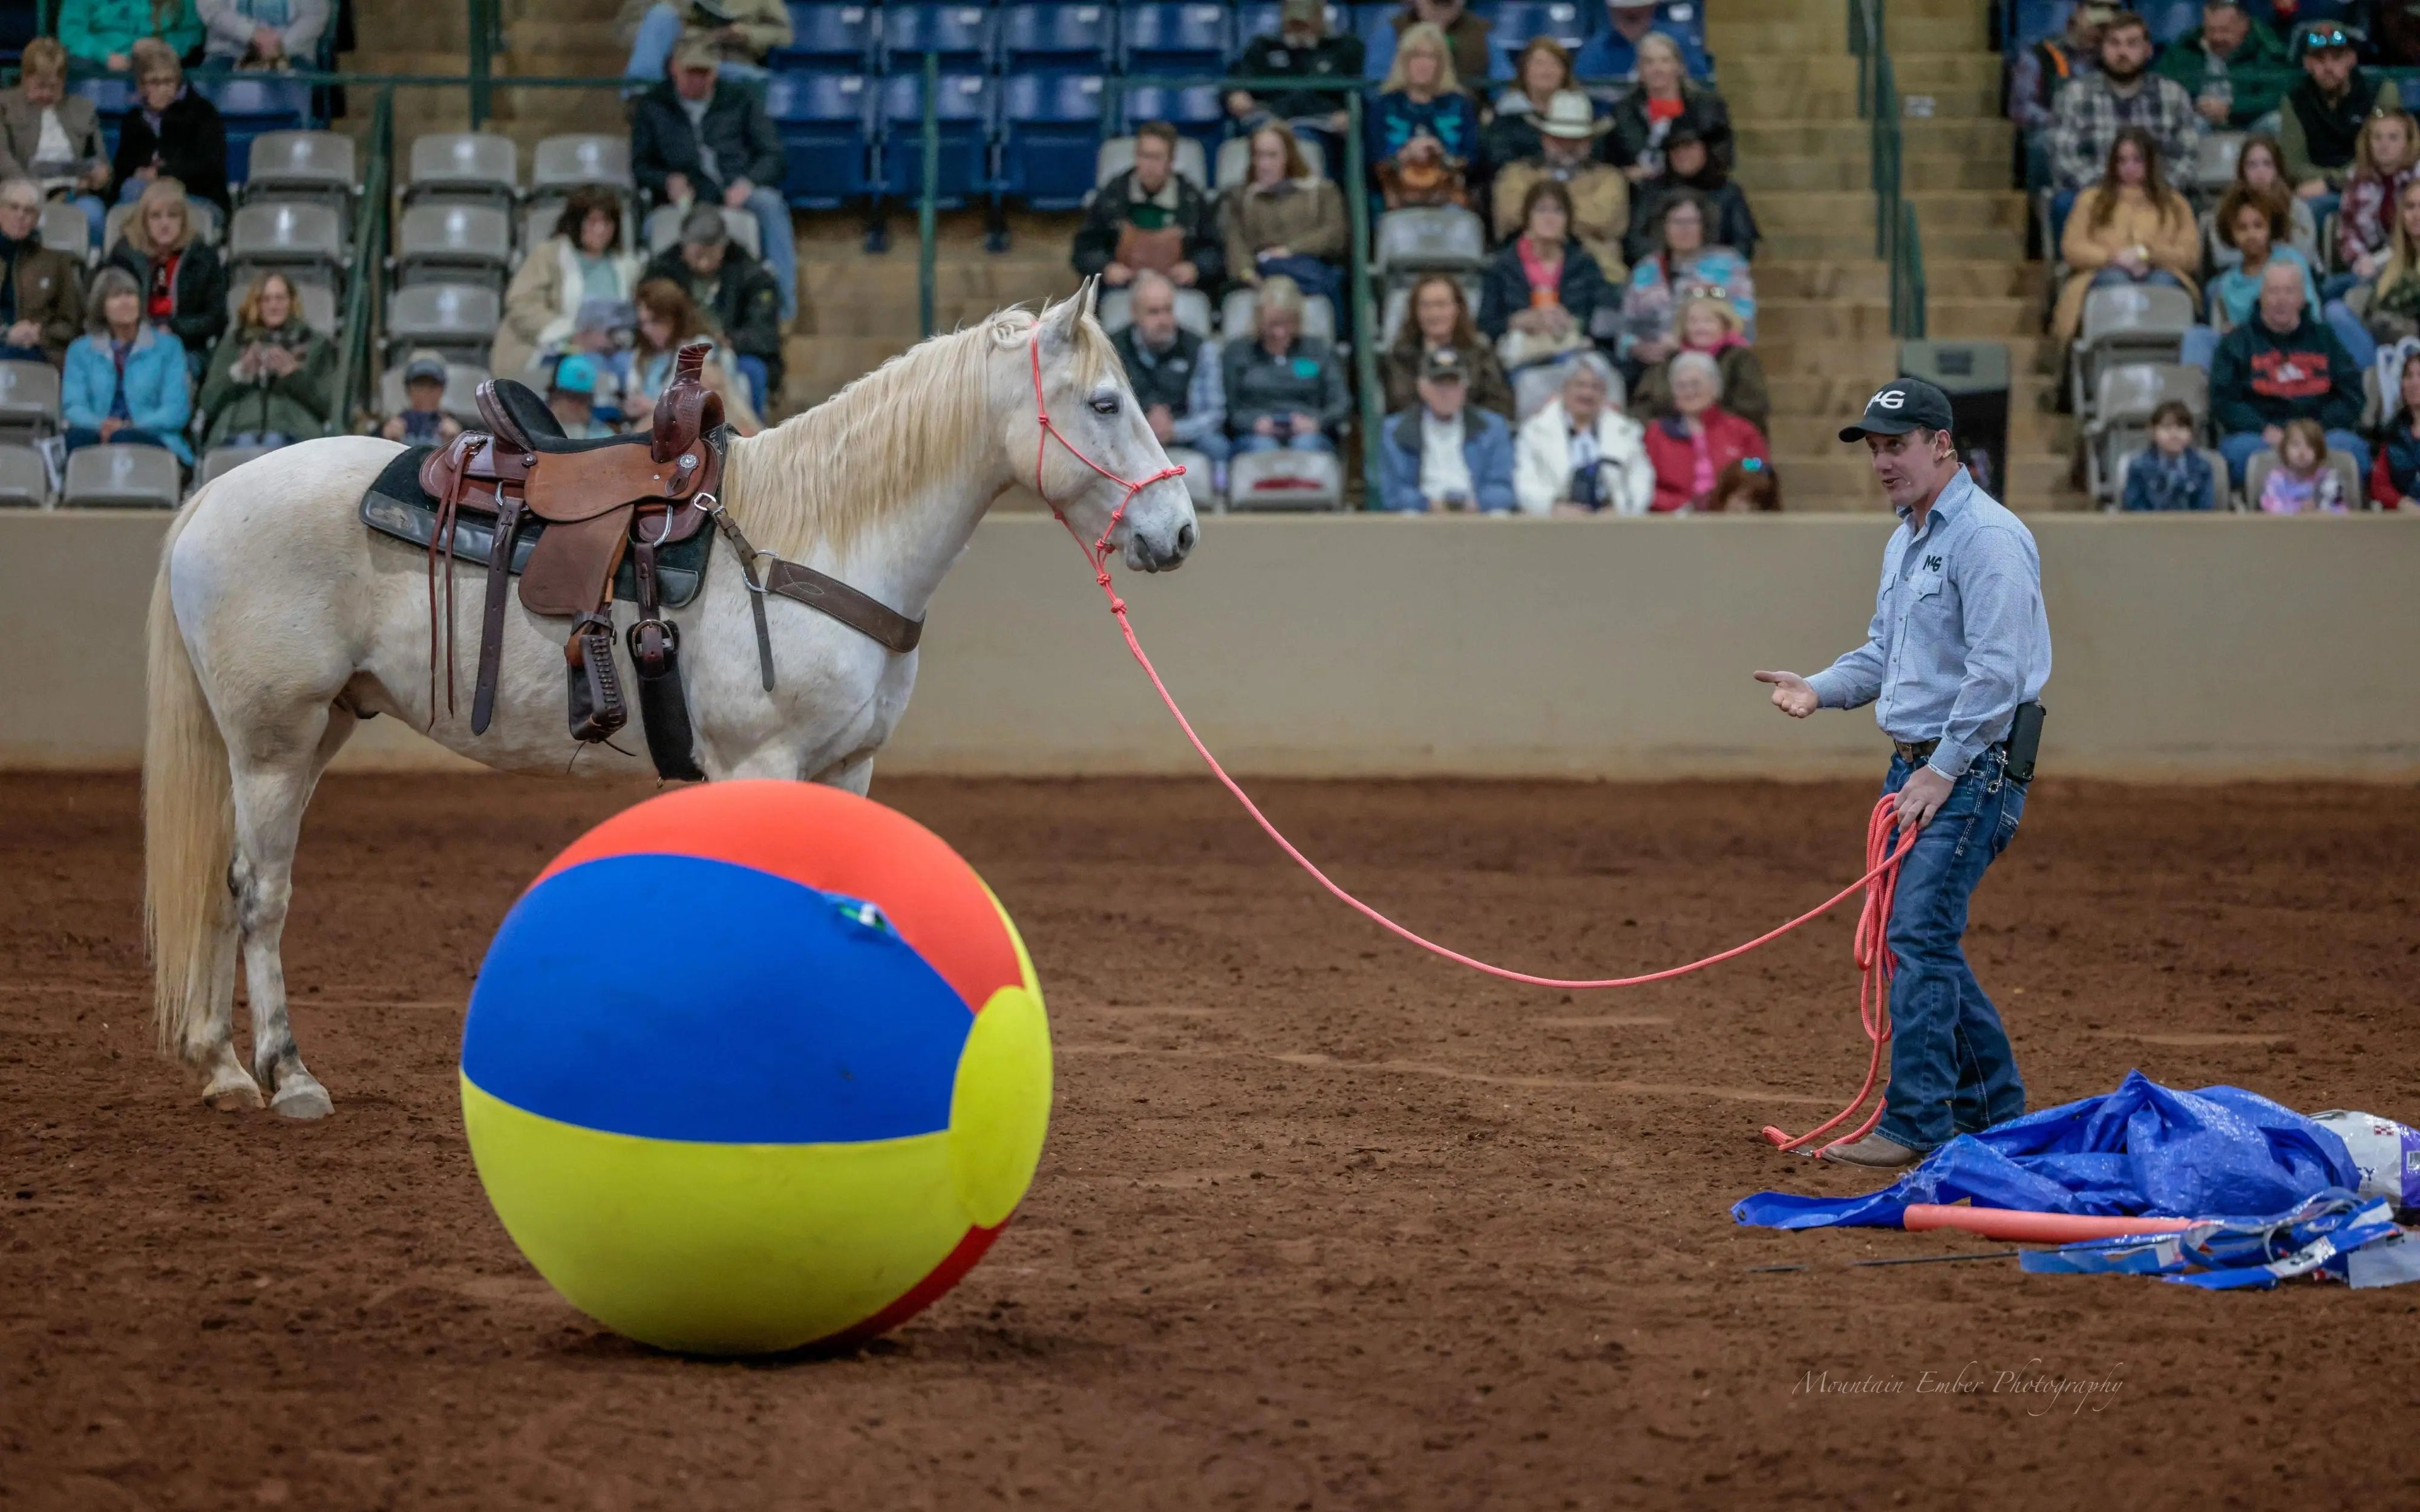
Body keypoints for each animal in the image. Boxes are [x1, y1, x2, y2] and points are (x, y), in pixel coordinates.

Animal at [142, 285, 1196, 1119]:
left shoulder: (846, 768)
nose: (1179, 530)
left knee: (224, 883)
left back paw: (223, 1067)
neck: (818, 539)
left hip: (305, 734)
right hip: (273, 744)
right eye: (1106, 402)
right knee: (261, 893)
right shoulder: (761, 765)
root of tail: (211, 495)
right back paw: (287, 1075)